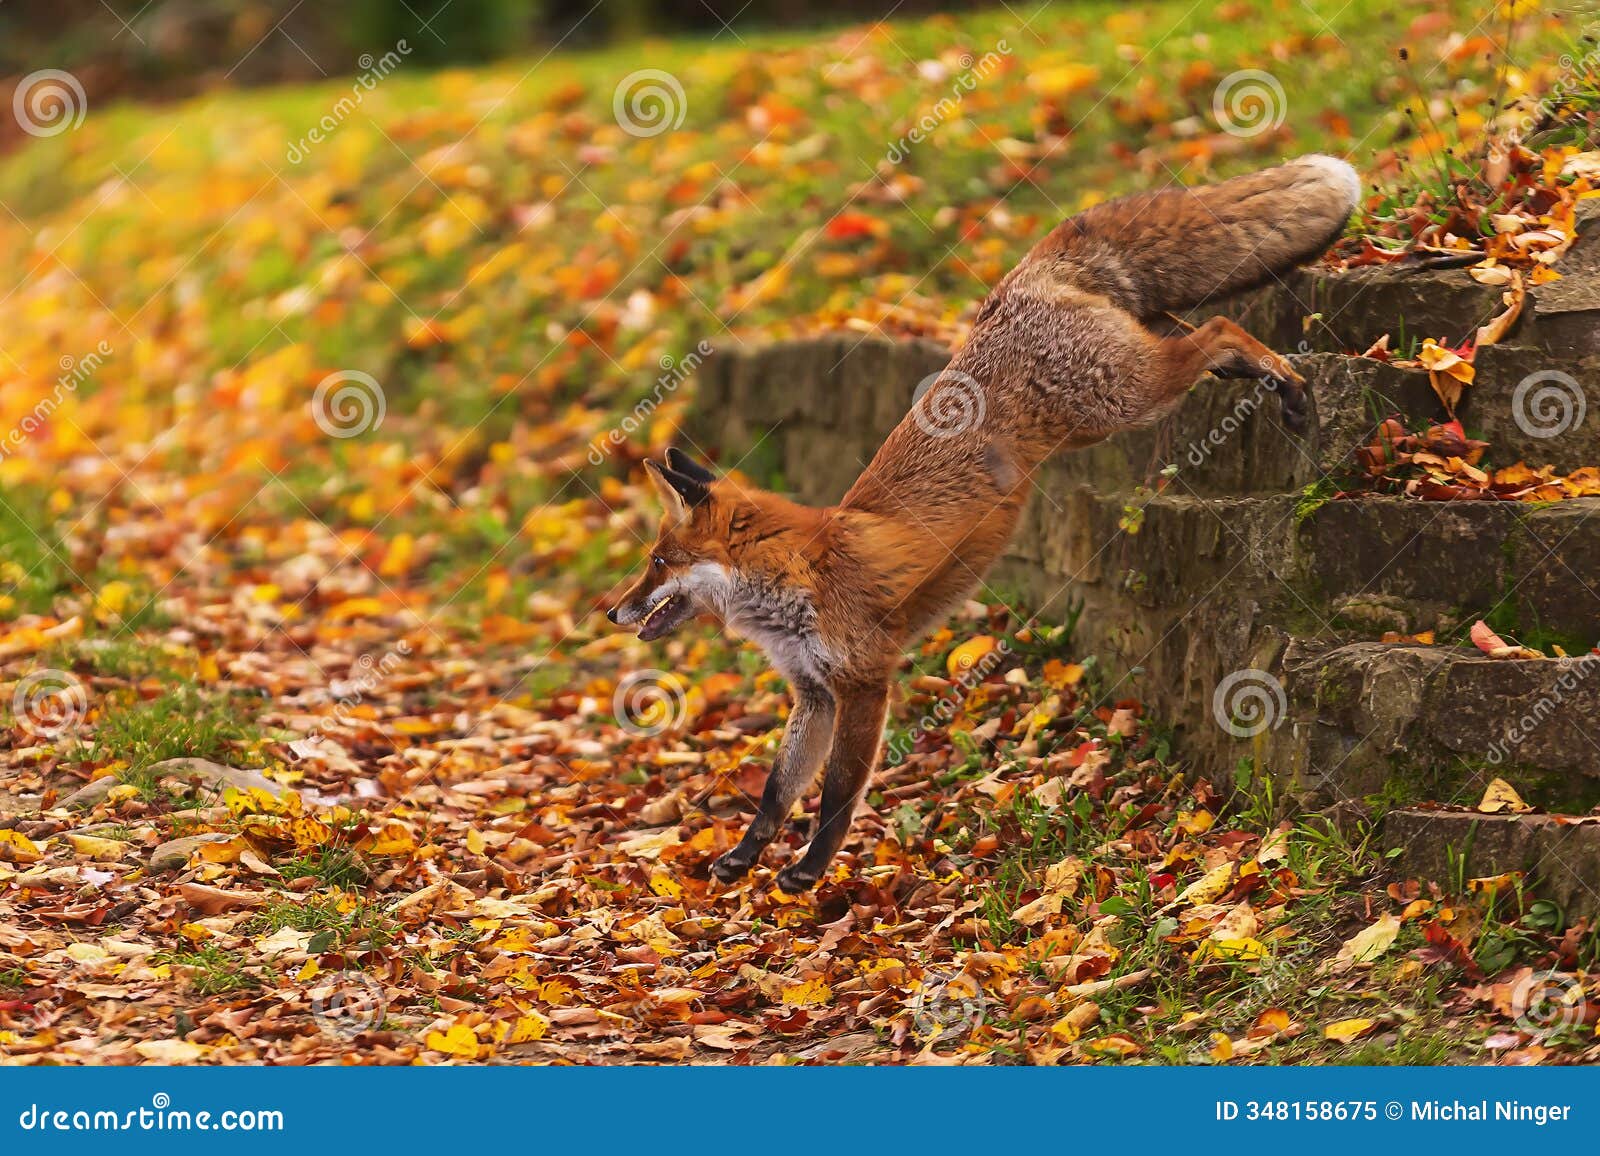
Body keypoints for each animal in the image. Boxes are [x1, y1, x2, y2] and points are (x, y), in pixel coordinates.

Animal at [607, 154, 1361, 893]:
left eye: (657, 562)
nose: (611, 611)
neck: (793, 578)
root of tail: (1010, 290)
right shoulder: (814, 693)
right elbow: (776, 790)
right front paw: (745, 856)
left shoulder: (864, 681)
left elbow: (838, 795)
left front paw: (810, 869)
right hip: (1109, 400)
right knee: (1201, 338)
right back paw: (1259, 375)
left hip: (1123, 398)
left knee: (1219, 331)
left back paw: (1290, 383)